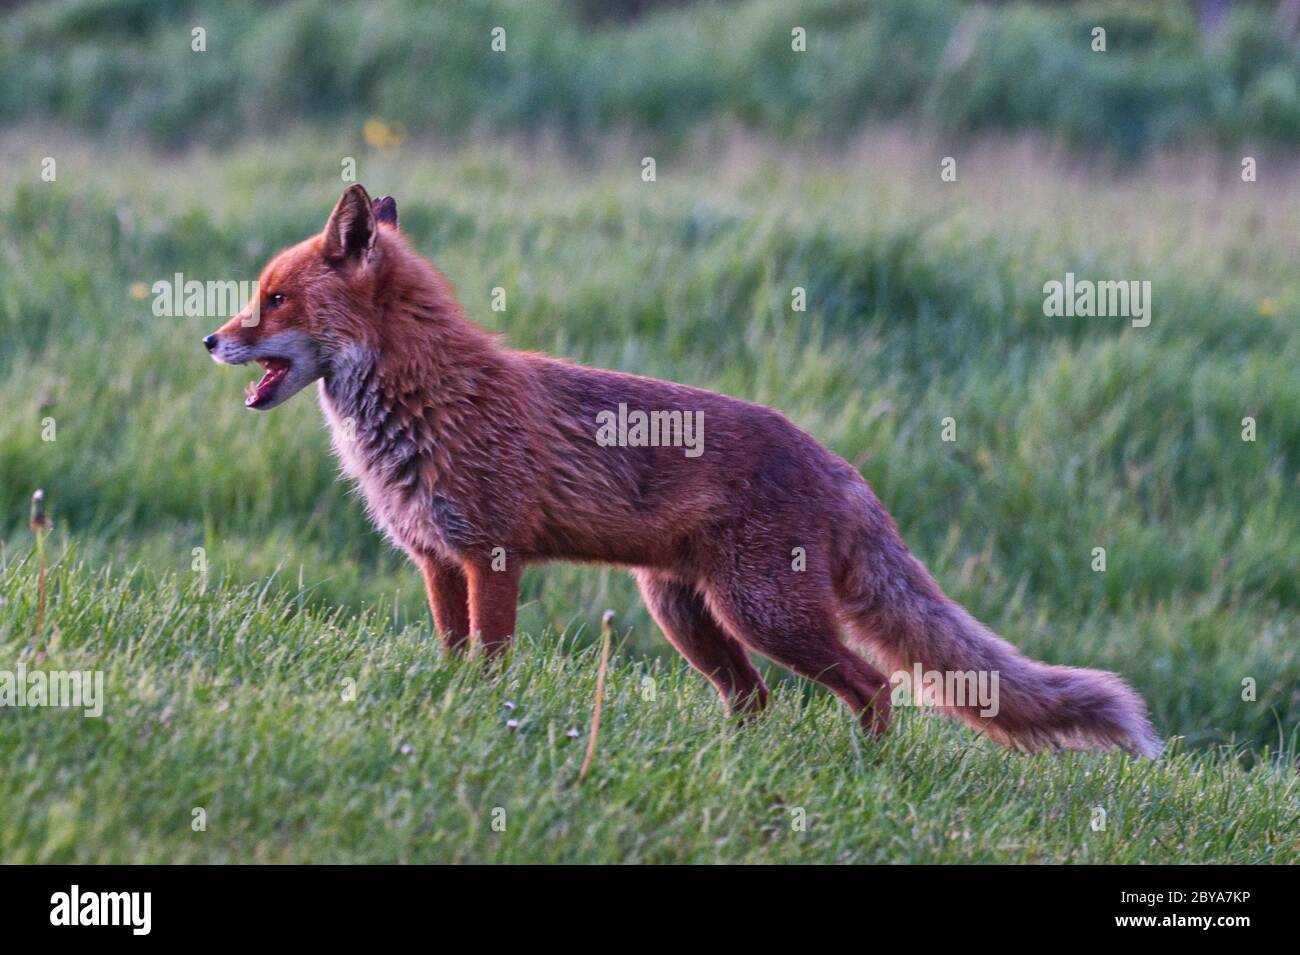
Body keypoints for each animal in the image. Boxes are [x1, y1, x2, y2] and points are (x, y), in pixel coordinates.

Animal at [204, 184, 1162, 758]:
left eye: (273, 300)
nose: (210, 338)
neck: (422, 398)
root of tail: (845, 470)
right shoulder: (438, 559)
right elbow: (453, 652)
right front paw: (453, 703)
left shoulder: (492, 555)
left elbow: (493, 660)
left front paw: (481, 717)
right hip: (688, 616)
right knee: (756, 701)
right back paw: (736, 763)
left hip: (765, 613)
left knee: (873, 682)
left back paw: (869, 768)